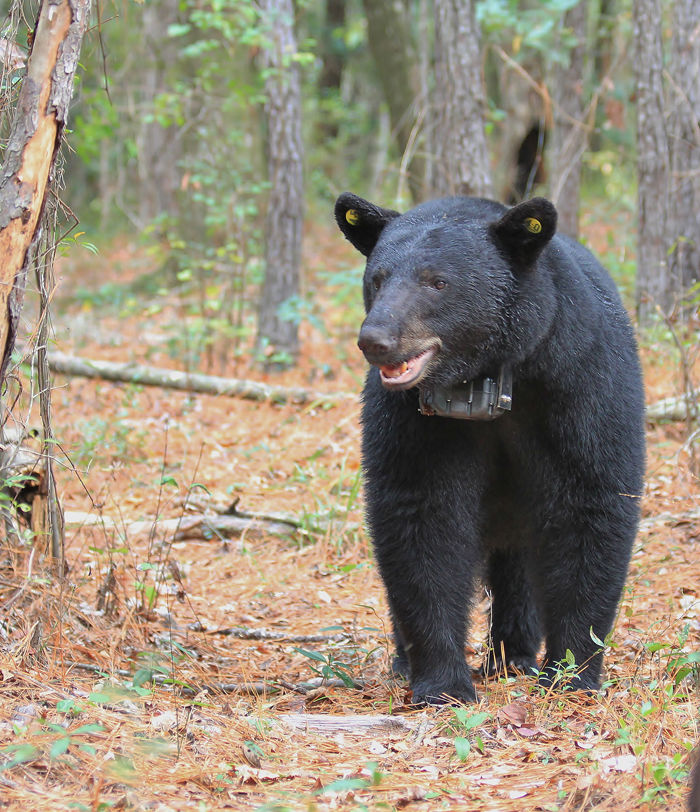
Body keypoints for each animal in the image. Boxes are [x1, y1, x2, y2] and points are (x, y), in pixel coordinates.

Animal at [334, 192, 645, 705]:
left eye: (437, 282)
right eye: (376, 279)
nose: (375, 340)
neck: (488, 380)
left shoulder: (579, 381)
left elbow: (589, 502)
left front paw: (571, 674)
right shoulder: (414, 419)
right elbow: (423, 518)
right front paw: (443, 682)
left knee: (519, 560)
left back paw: (514, 655)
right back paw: (410, 659)